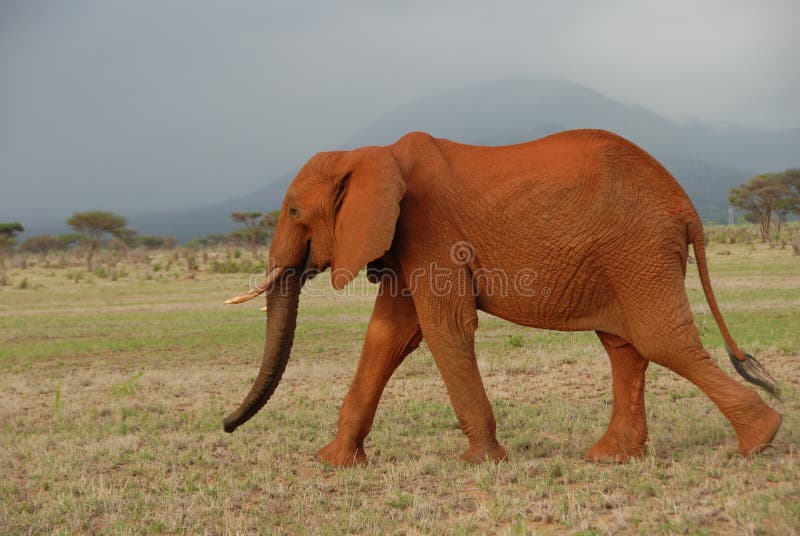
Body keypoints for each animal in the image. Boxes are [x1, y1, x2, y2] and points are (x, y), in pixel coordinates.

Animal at [222, 129, 782, 467]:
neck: (372, 153)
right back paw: (609, 457)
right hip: (626, 257)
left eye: (295, 212)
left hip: (639, 248)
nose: (225, 426)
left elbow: (442, 327)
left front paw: (483, 462)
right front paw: (333, 462)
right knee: (626, 347)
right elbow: (388, 334)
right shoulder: (404, 239)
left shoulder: (429, 231)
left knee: (660, 339)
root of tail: (686, 205)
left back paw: (762, 439)